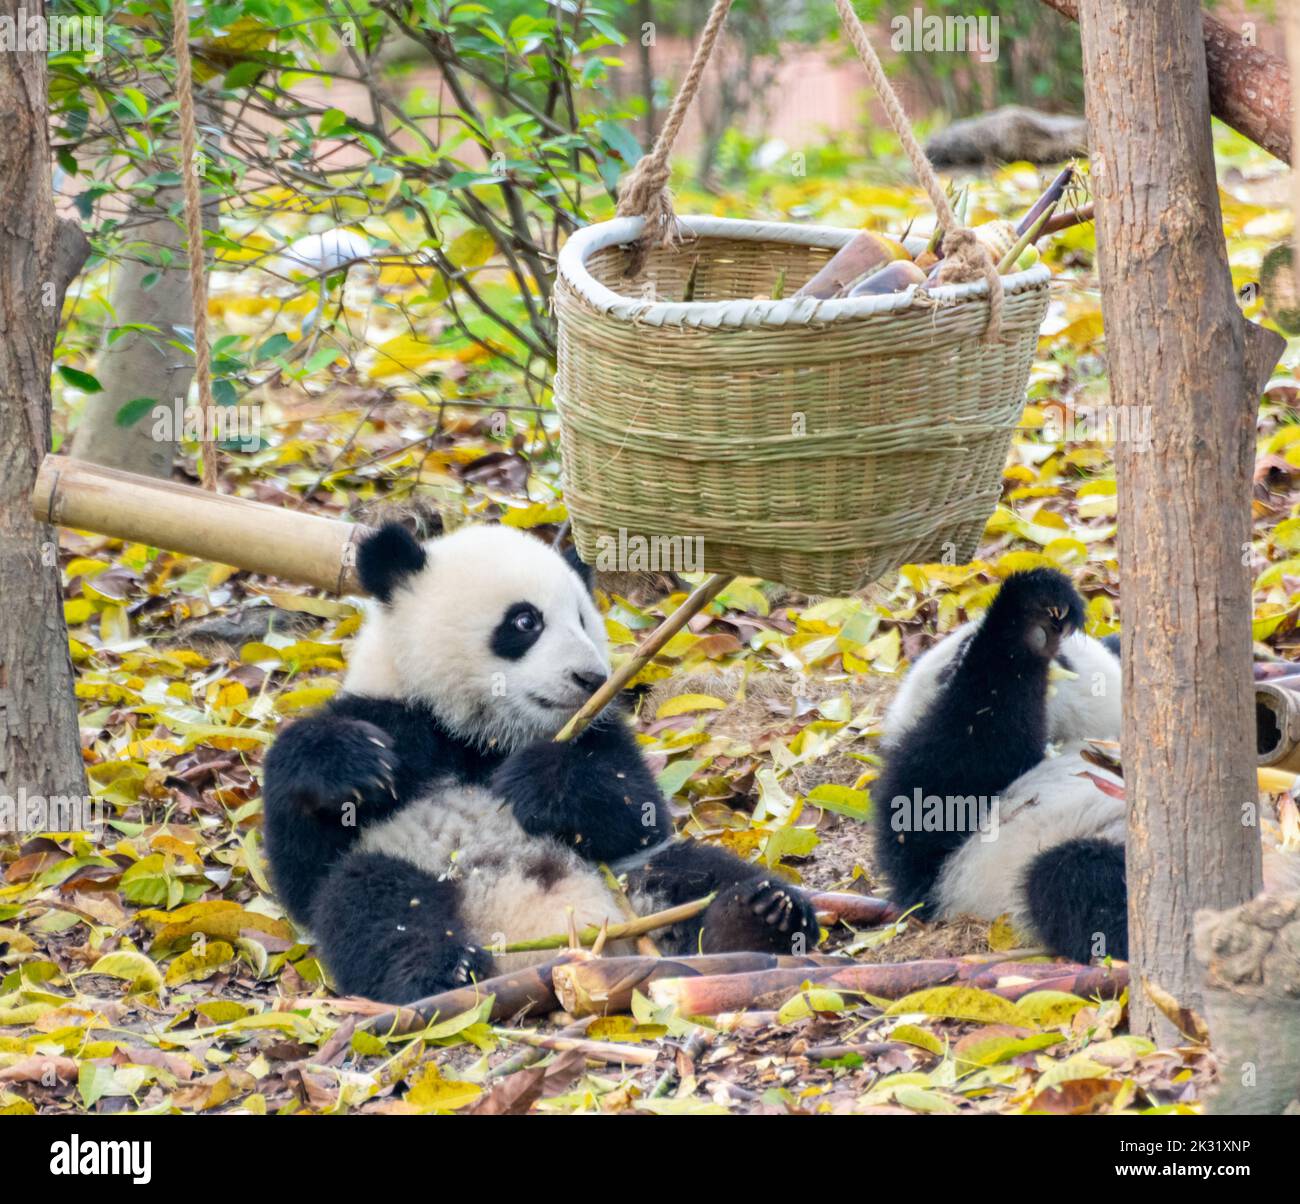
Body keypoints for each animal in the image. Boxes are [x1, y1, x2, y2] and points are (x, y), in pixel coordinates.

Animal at [262, 522, 819, 1003]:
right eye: (525, 621)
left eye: (583, 619)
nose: (590, 678)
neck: (477, 734)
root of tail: (539, 953)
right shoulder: (395, 718)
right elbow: (303, 871)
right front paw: (352, 765)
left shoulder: (600, 730)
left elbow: (639, 812)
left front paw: (538, 780)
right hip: (410, 864)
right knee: (372, 904)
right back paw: (443, 972)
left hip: (625, 880)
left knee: (692, 871)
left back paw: (762, 917)